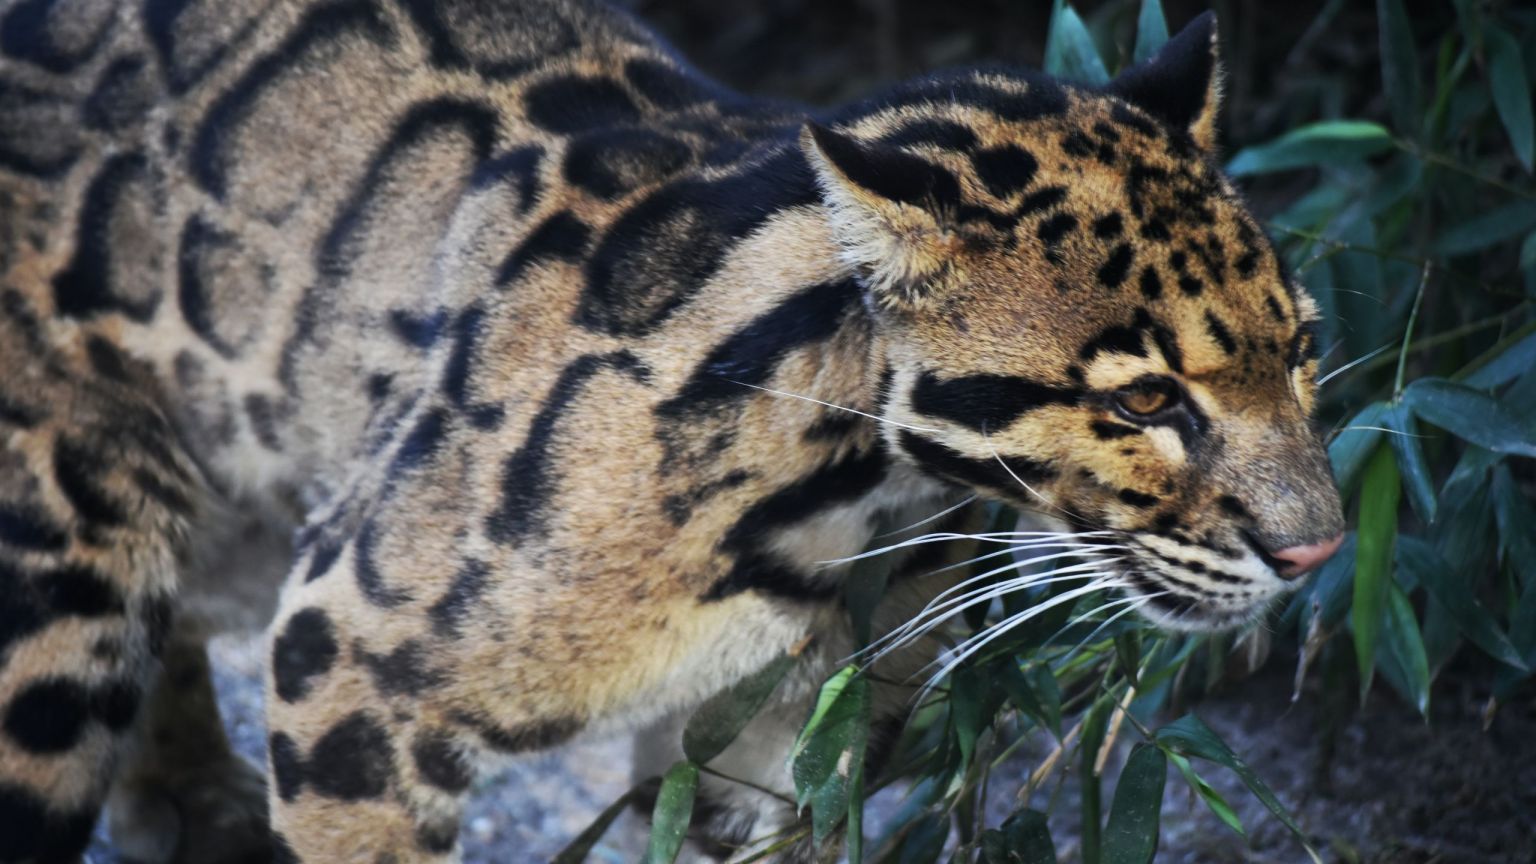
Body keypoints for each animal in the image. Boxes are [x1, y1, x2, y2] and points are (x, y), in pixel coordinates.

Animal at [0, 0, 1346, 860]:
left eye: (1303, 350)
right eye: (1145, 400)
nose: (1320, 551)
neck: (845, 513)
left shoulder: (784, 760)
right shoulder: (349, 656)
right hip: (55, 586)